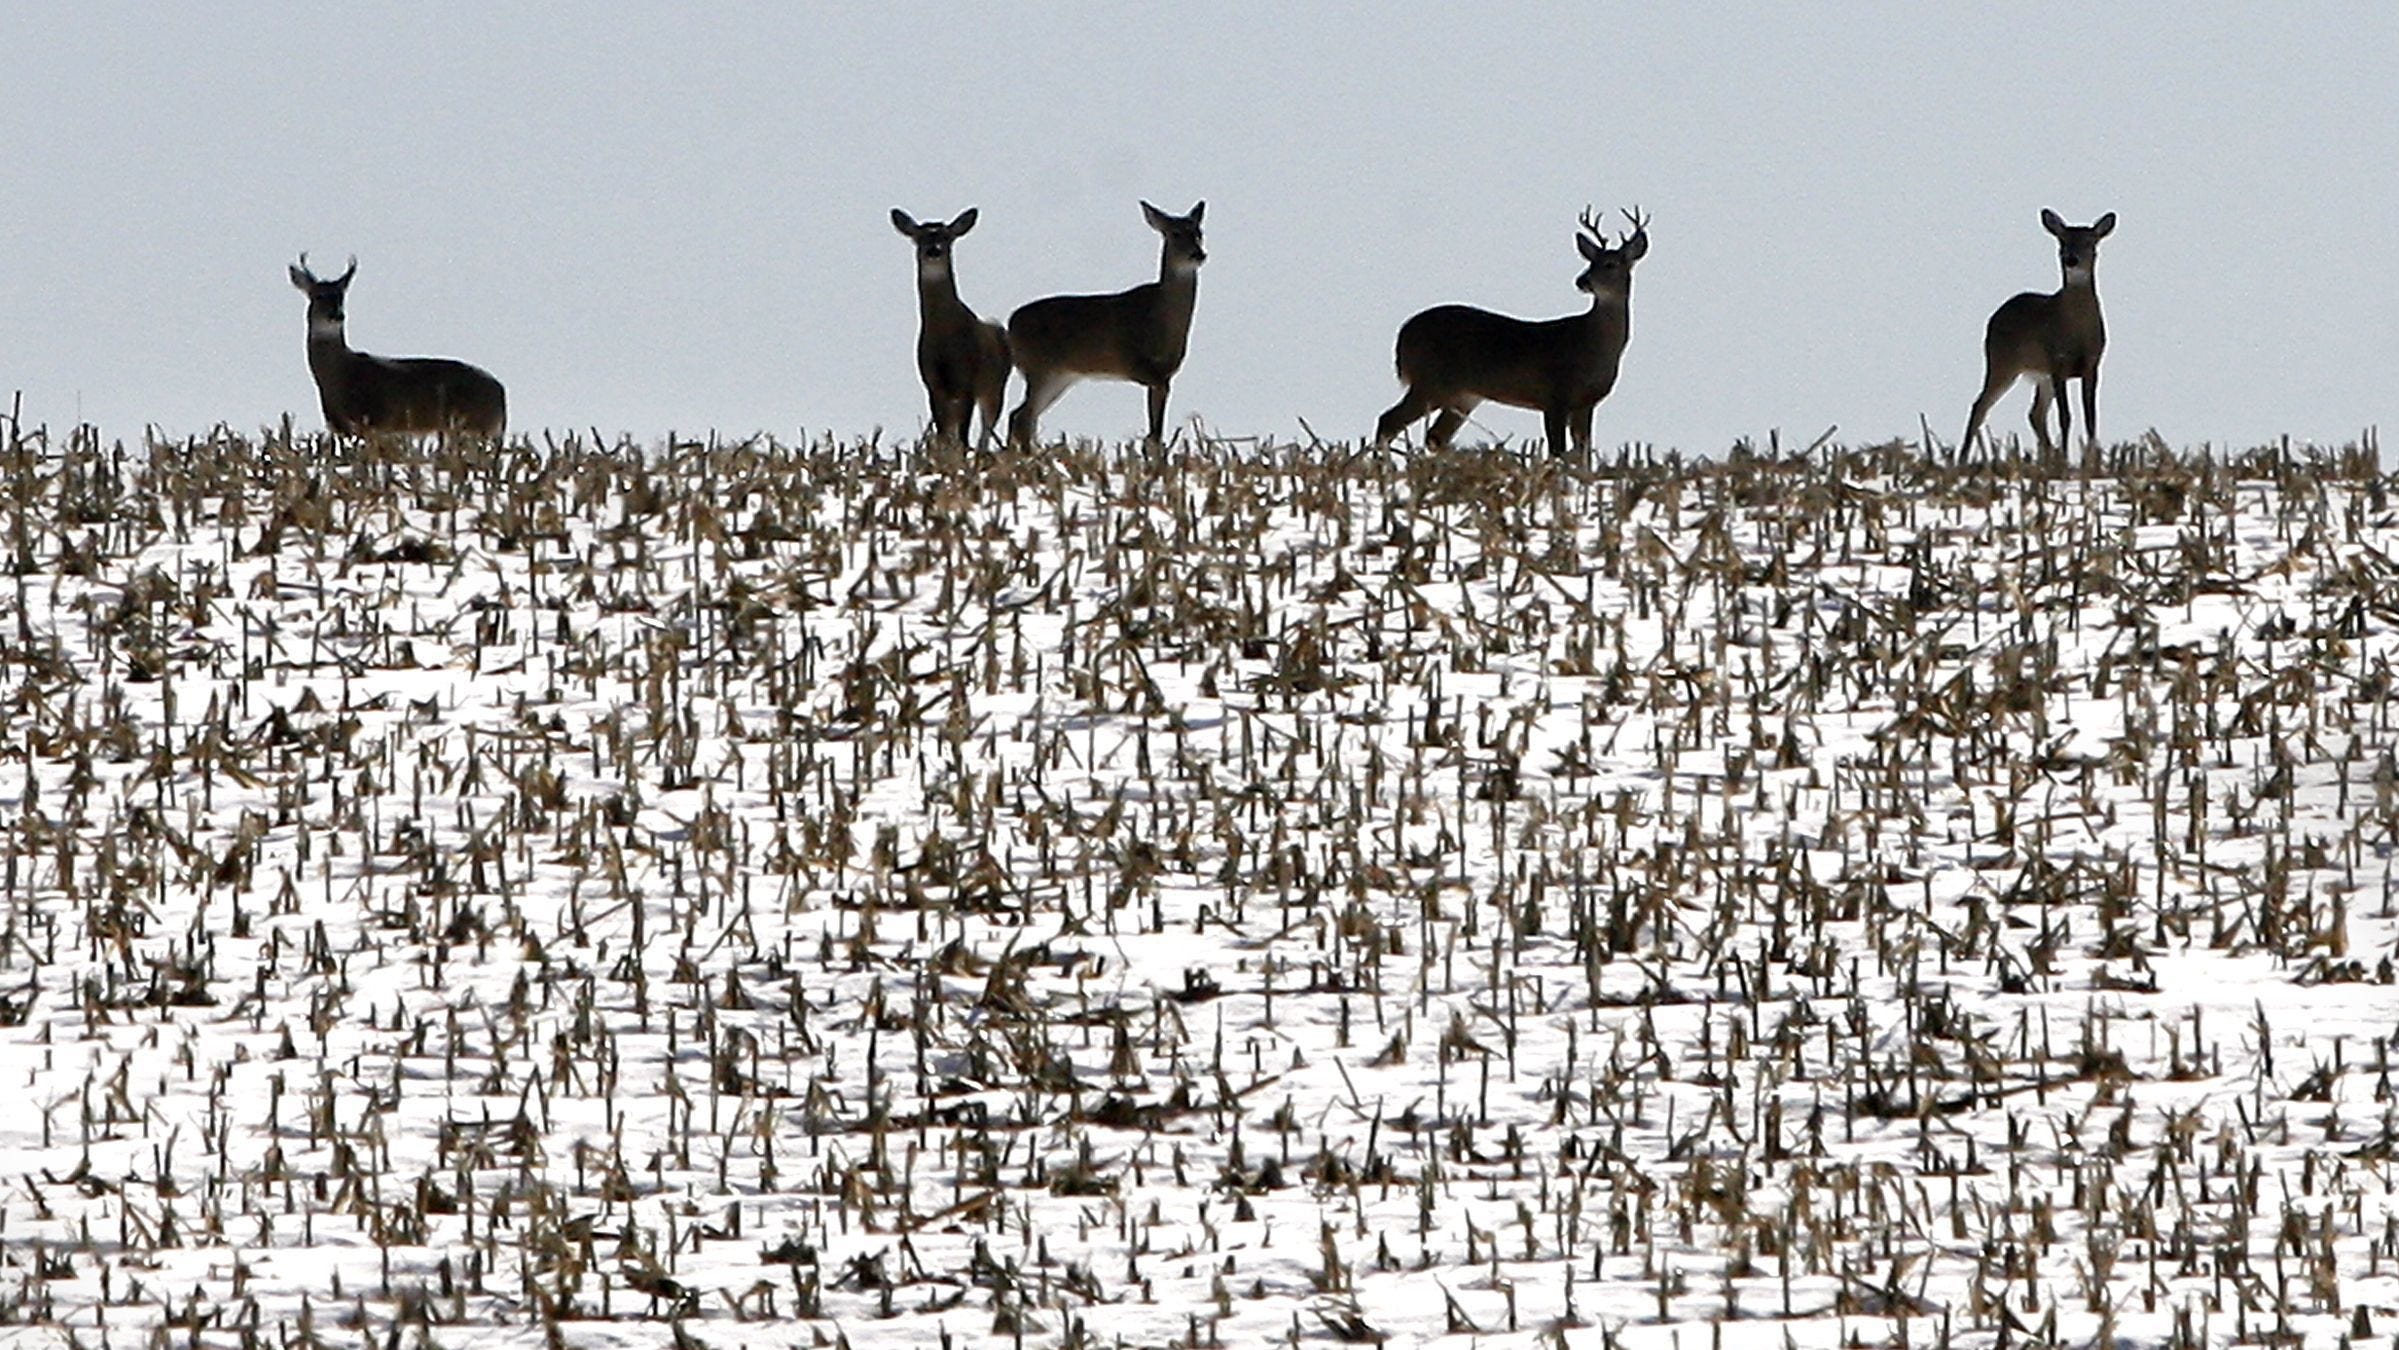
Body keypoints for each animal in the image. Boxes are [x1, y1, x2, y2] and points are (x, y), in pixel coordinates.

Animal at [287, 255, 506, 439]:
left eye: (342, 296)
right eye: (318, 296)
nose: (337, 315)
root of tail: (500, 391)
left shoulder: (373, 421)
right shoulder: (339, 427)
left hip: (476, 425)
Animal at [891, 207, 1012, 450]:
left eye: (947, 238)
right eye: (919, 238)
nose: (933, 250)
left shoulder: (968, 380)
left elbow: (964, 439)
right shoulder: (933, 383)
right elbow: (943, 435)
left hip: (995, 386)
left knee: (985, 433)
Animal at [1005, 200, 1205, 450]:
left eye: (1199, 233)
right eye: (1174, 233)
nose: (1198, 254)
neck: (1160, 319)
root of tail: (1010, 324)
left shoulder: (1166, 373)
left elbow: (1155, 434)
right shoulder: (1133, 362)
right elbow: (1154, 434)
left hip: (1060, 376)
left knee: (1020, 415)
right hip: (1039, 368)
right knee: (1022, 417)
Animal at [1373, 207, 1649, 458]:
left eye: (1610, 263)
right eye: (1589, 262)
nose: (1582, 281)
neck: (1593, 344)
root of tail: (1403, 333)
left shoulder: (1586, 403)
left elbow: (1583, 456)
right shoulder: (1554, 394)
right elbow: (1557, 452)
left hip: (1463, 395)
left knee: (1434, 436)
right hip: (1431, 380)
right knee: (1389, 420)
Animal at [1960, 209, 2116, 461]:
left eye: (2091, 242)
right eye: (2062, 241)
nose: (2071, 259)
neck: (2077, 330)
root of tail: (1994, 317)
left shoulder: (2092, 363)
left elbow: (2091, 417)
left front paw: (2090, 460)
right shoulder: (2057, 360)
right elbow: (2066, 416)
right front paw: (2066, 458)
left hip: (2040, 376)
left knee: (2035, 413)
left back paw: (2048, 455)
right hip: (2003, 362)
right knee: (1980, 406)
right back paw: (1962, 458)